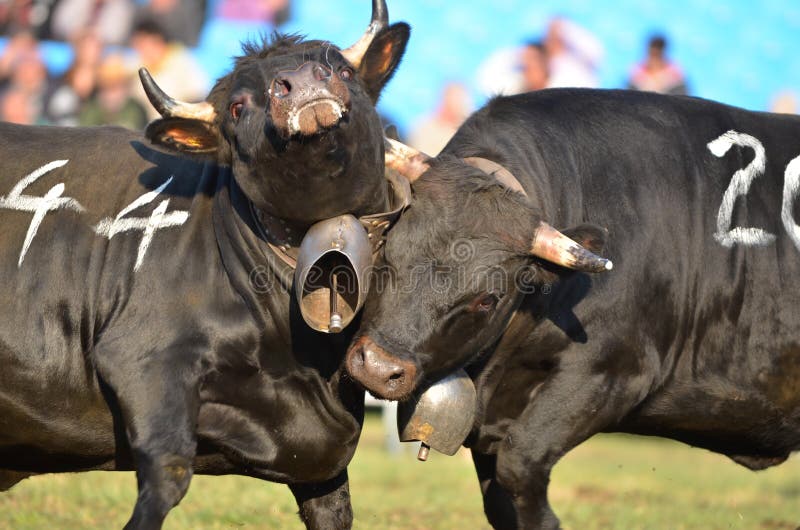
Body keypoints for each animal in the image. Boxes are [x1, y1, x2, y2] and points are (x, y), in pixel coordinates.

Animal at [0, 1, 409, 528]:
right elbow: (168, 475)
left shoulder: (321, 452)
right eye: (237, 106)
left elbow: (334, 511)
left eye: (341, 70)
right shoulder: (145, 359)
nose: (300, 81)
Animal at [345, 88, 800, 529]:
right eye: (387, 252)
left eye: (487, 298)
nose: (378, 368)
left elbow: (520, 463)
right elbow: (500, 500)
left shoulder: (611, 375)